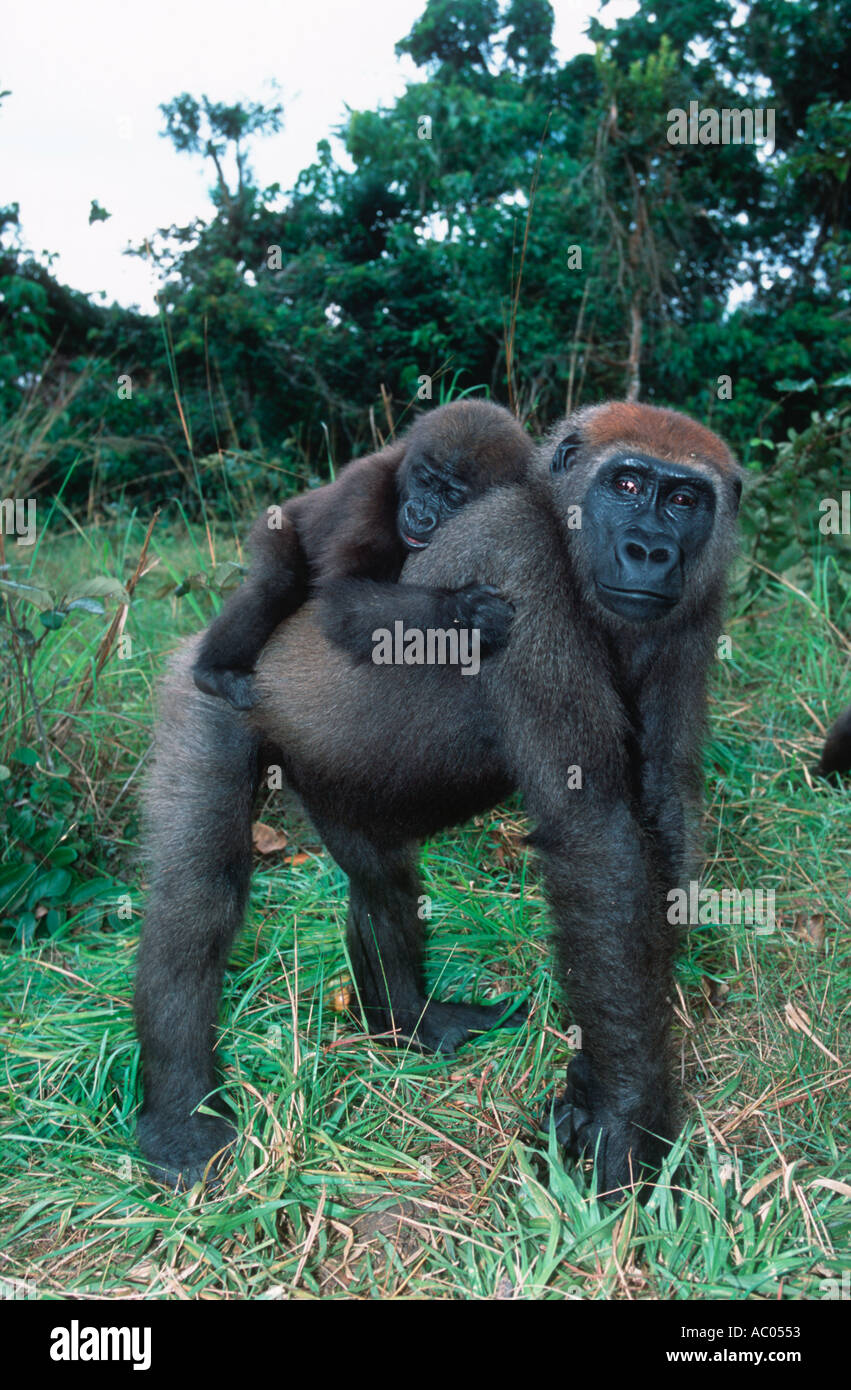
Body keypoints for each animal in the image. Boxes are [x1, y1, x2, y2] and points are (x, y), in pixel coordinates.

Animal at [192, 399, 534, 709]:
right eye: (424, 480)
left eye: (451, 496)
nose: (419, 515)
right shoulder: (366, 491)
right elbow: (342, 599)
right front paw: (465, 609)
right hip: (276, 522)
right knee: (276, 583)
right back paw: (214, 672)